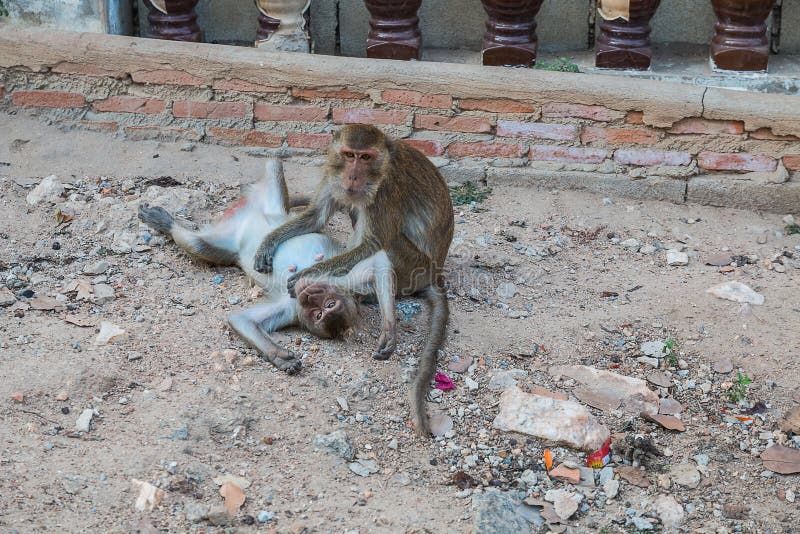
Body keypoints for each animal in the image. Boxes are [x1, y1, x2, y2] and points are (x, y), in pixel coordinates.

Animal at [138, 158, 397, 374]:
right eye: (327, 305)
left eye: (320, 313)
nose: (308, 296)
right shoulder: (343, 279)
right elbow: (379, 263)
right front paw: (389, 329)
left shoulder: (291, 308)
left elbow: (240, 319)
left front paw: (277, 356)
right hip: (273, 207)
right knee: (275, 165)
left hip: (227, 240)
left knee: (198, 244)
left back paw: (168, 224)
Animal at [253, 124, 455, 436]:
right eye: (349, 155)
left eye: (365, 157)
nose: (353, 176)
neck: (381, 167)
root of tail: (436, 272)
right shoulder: (332, 173)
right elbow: (315, 216)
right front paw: (267, 244)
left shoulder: (386, 190)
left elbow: (372, 243)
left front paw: (309, 274)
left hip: (413, 265)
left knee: (382, 242)